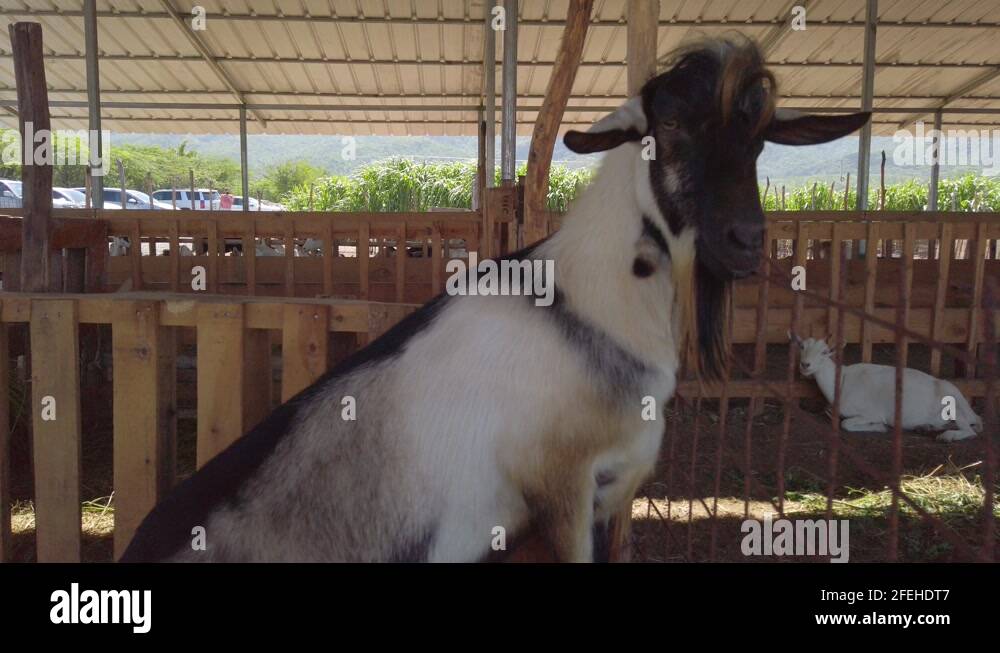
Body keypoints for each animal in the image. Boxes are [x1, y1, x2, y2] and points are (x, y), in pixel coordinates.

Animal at [121, 36, 869, 563]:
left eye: (762, 135)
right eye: (672, 125)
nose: (746, 239)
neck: (585, 308)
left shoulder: (608, 491)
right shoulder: (562, 490)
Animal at [792, 333, 982, 442]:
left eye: (824, 352)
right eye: (801, 347)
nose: (805, 364)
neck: (842, 381)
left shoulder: (869, 412)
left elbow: (846, 423)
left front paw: (879, 427)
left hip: (954, 404)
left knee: (971, 430)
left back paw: (948, 436)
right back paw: (925, 427)